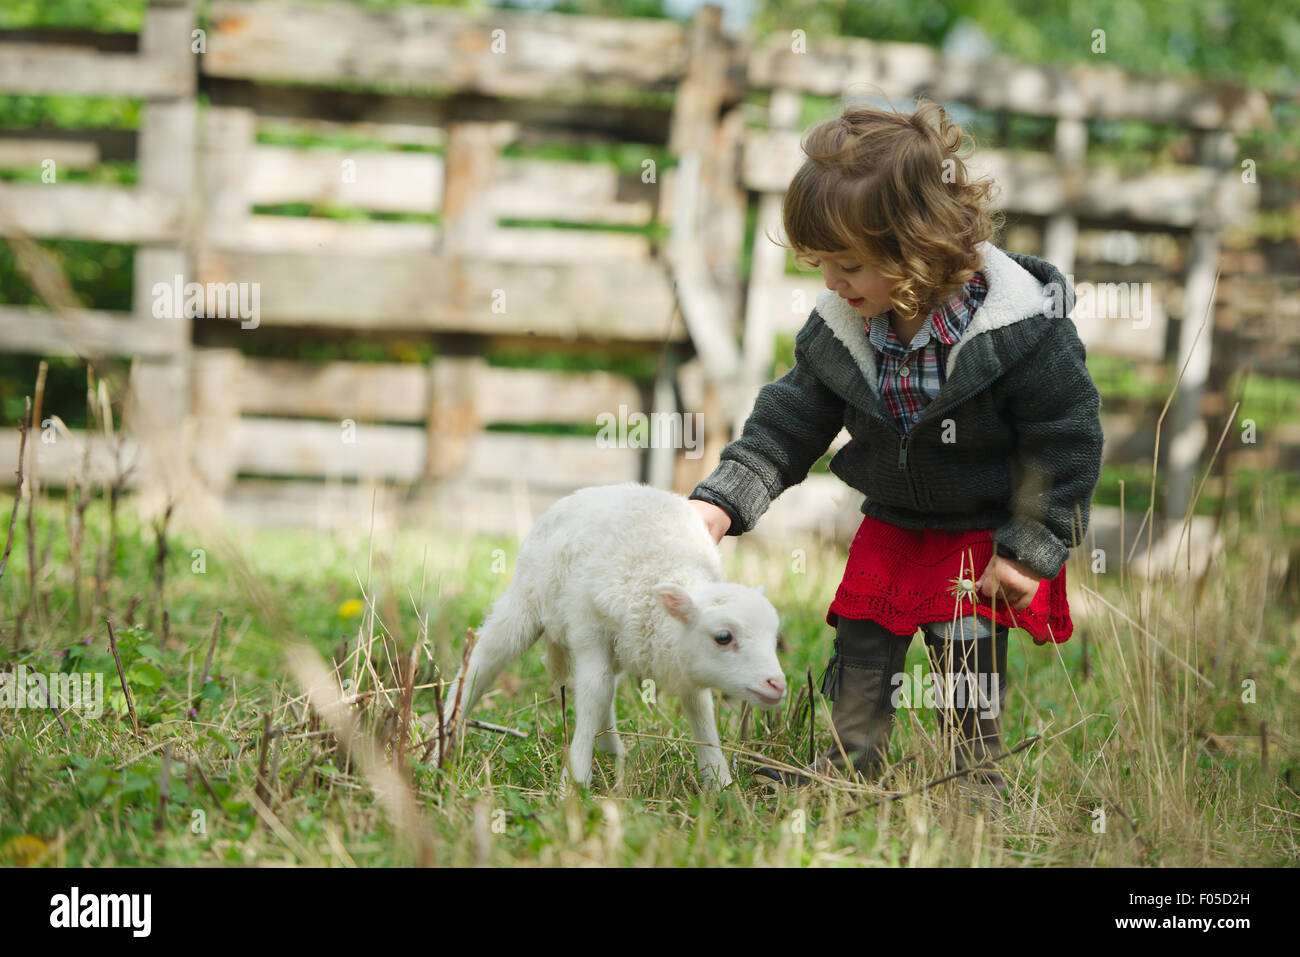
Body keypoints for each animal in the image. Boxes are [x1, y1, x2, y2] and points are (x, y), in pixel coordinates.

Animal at [438, 481, 786, 791]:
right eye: (723, 637)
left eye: (774, 638)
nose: (777, 685)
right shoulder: (590, 630)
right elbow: (594, 692)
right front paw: (574, 782)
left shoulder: (683, 658)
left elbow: (699, 709)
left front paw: (720, 783)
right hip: (526, 599)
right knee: (488, 656)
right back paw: (439, 743)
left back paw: (611, 751)